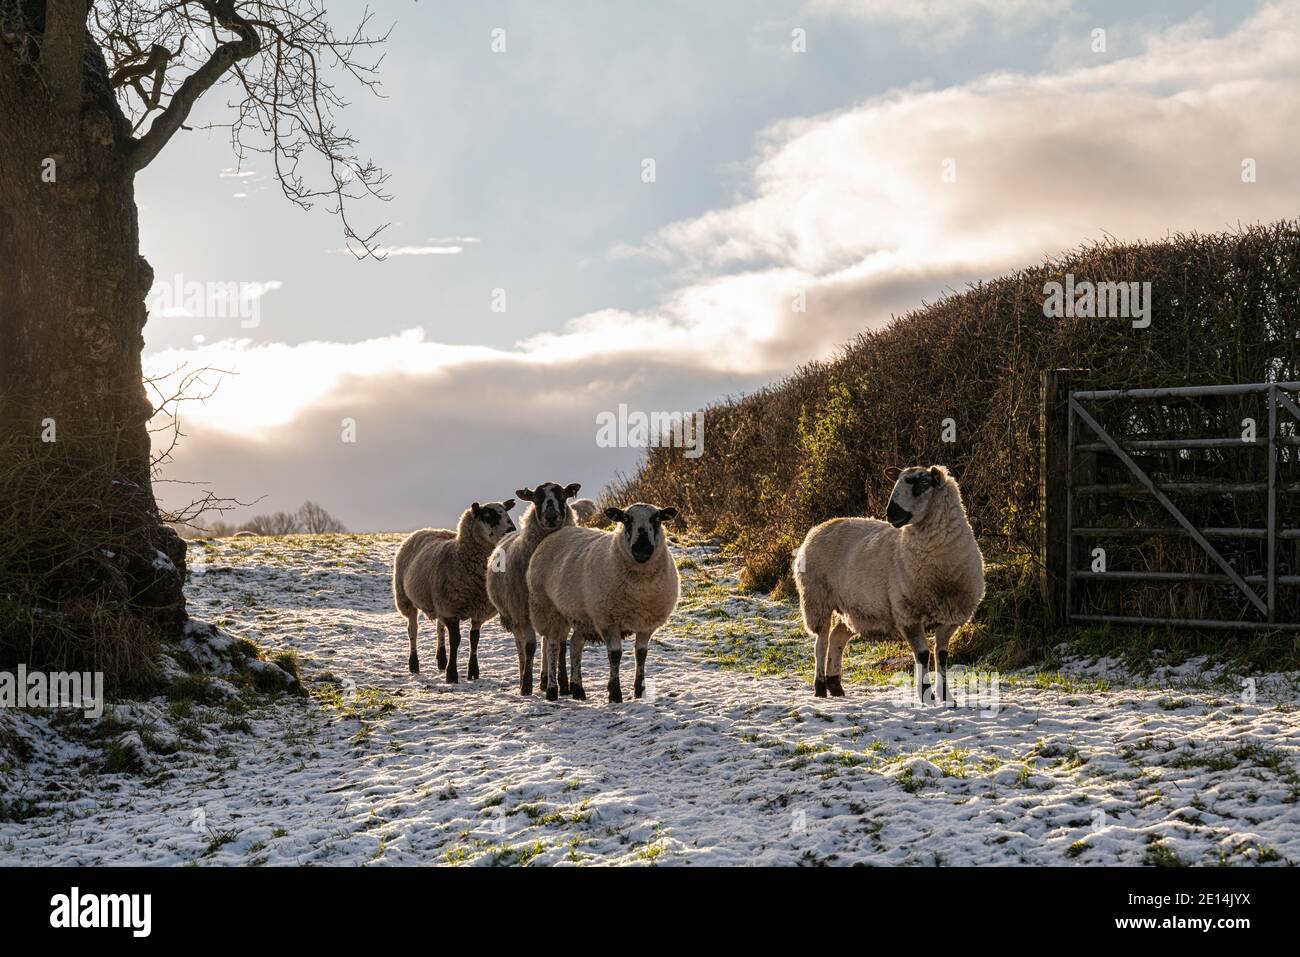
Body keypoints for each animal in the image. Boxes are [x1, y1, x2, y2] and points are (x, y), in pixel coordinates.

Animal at [393, 500, 516, 682]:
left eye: (506, 512)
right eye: (487, 516)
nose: (511, 531)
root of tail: (427, 529)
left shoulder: (477, 611)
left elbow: (474, 639)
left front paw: (473, 672)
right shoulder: (451, 610)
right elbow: (455, 640)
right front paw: (451, 674)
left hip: (438, 600)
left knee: (439, 628)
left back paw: (441, 660)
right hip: (405, 598)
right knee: (412, 630)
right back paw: (414, 664)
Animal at [485, 481, 582, 695]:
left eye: (562, 495)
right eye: (536, 498)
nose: (552, 515)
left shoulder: (560, 612)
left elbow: (560, 646)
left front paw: (563, 685)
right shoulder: (521, 613)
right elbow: (529, 646)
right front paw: (527, 685)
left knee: (546, 640)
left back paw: (545, 679)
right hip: (513, 615)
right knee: (520, 645)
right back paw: (524, 676)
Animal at [528, 503, 680, 703]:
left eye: (657, 519)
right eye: (626, 519)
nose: (642, 548)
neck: (639, 590)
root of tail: (557, 533)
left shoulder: (646, 624)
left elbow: (641, 654)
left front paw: (639, 691)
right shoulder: (608, 621)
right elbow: (615, 655)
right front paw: (615, 693)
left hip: (581, 616)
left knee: (575, 645)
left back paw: (578, 689)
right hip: (548, 609)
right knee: (552, 647)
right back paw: (552, 690)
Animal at [793, 466, 984, 704]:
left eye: (922, 484)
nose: (891, 514)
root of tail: (820, 526)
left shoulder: (950, 618)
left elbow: (941, 656)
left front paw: (947, 698)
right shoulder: (908, 614)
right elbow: (923, 655)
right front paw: (927, 696)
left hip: (855, 610)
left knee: (837, 638)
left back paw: (835, 686)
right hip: (817, 600)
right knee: (821, 644)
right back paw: (820, 688)